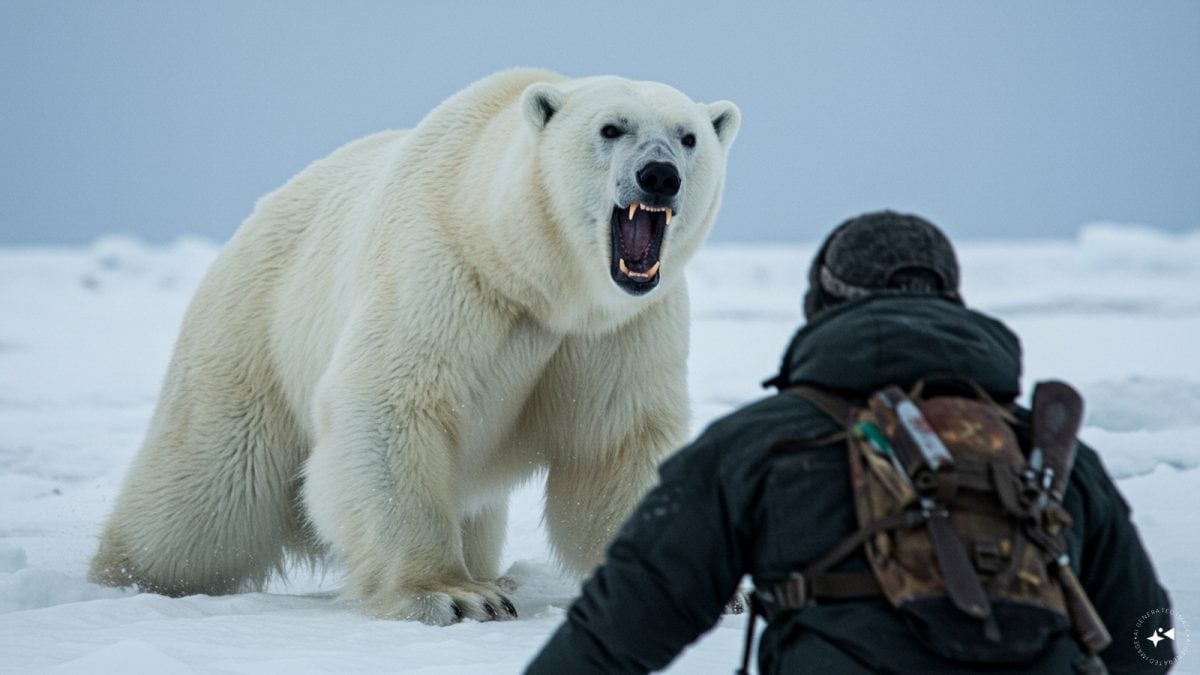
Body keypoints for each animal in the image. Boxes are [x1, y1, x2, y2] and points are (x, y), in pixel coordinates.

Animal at [89, 69, 741, 625]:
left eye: (688, 137)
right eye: (611, 128)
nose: (660, 175)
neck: (533, 274)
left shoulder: (618, 328)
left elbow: (618, 443)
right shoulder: (446, 272)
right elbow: (392, 402)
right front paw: (453, 595)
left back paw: (496, 572)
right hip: (254, 333)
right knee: (204, 501)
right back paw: (126, 578)